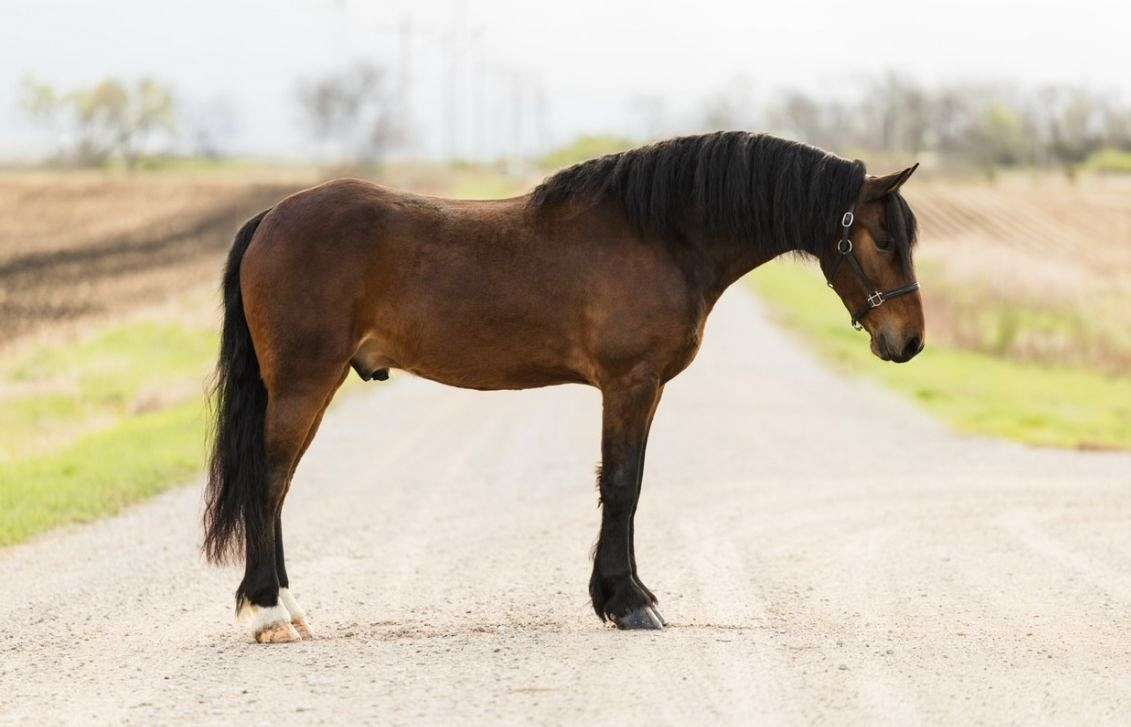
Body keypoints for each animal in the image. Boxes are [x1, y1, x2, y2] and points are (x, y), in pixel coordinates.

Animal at [202, 131, 924, 642]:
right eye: (884, 239)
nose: (910, 341)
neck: (661, 234)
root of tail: (272, 216)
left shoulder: (644, 388)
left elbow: (628, 485)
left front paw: (626, 595)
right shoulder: (629, 383)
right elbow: (622, 485)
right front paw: (628, 604)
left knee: (278, 486)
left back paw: (285, 605)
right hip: (304, 381)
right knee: (269, 482)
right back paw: (269, 613)